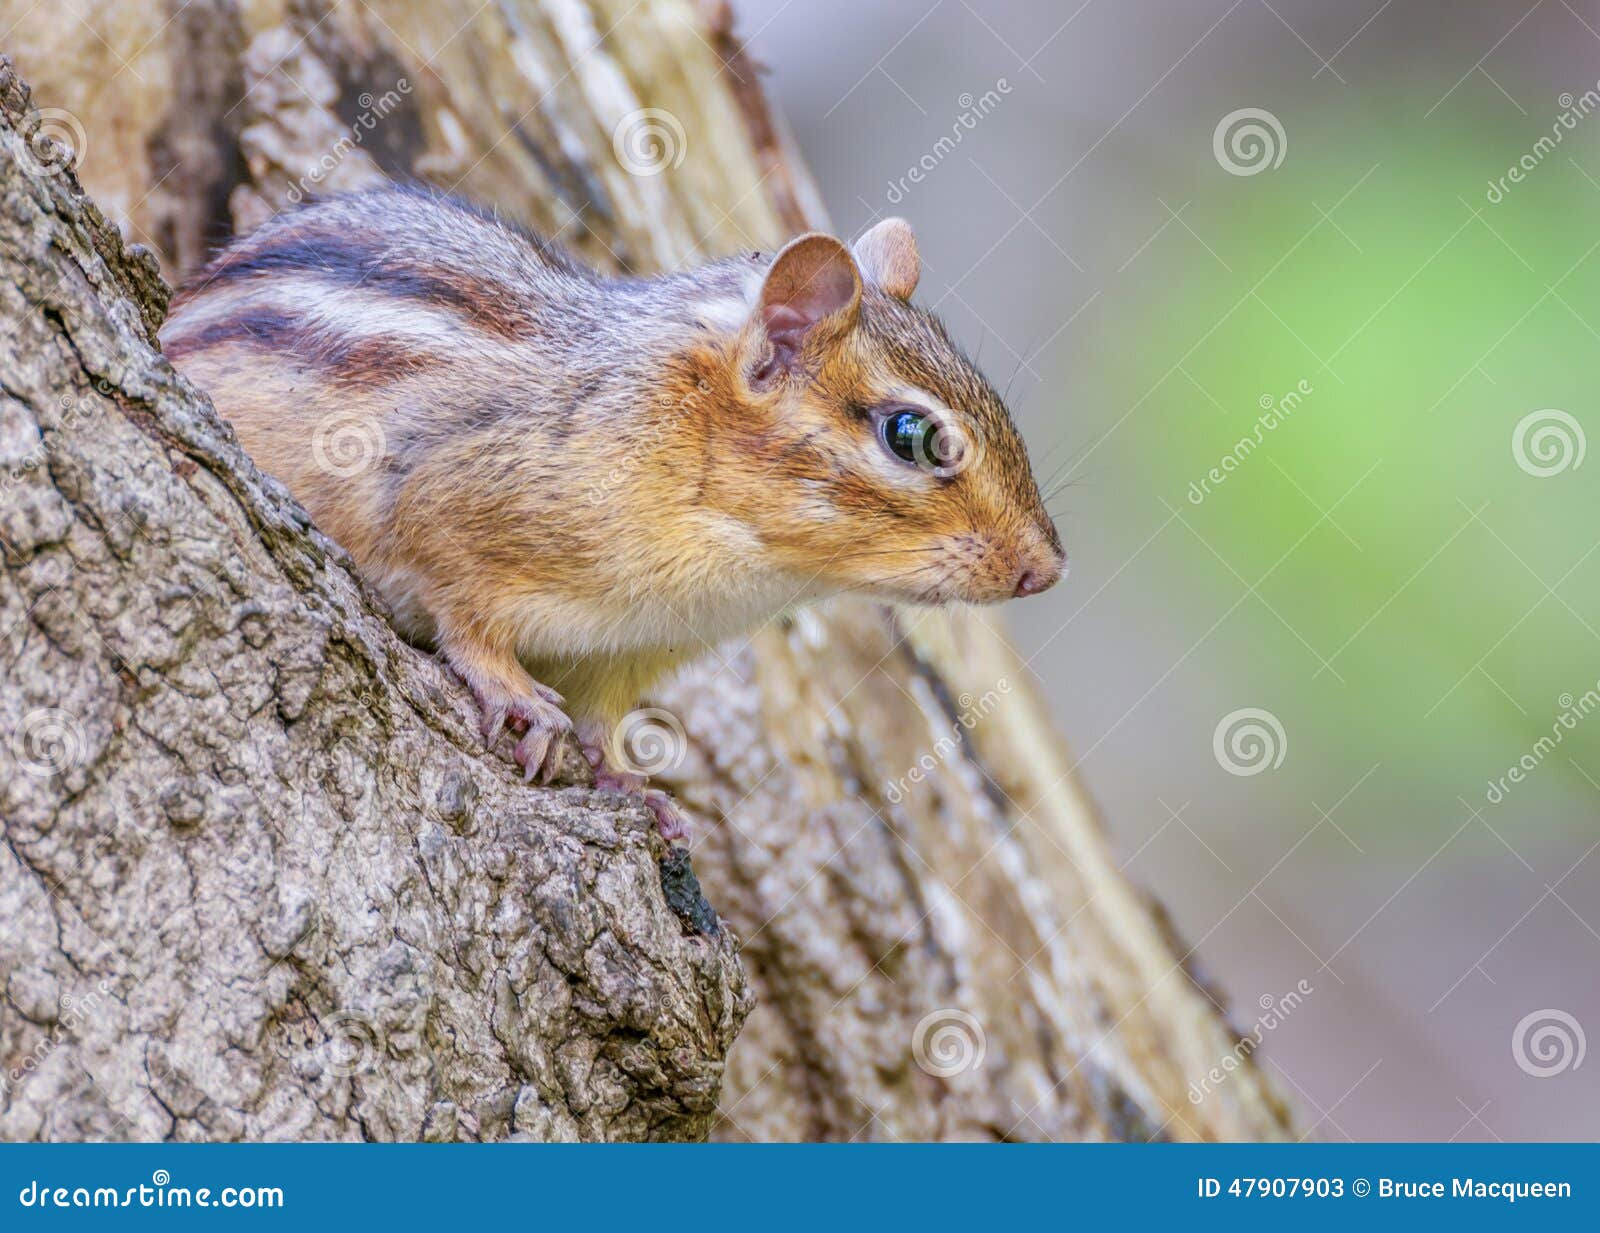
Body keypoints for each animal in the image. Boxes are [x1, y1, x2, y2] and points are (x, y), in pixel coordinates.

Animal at [160, 186, 1066, 840]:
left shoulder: (620, 654)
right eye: (911, 435)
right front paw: (515, 693)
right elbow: (461, 612)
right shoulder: (447, 497)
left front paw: (634, 787)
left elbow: (603, 724)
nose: (1047, 569)